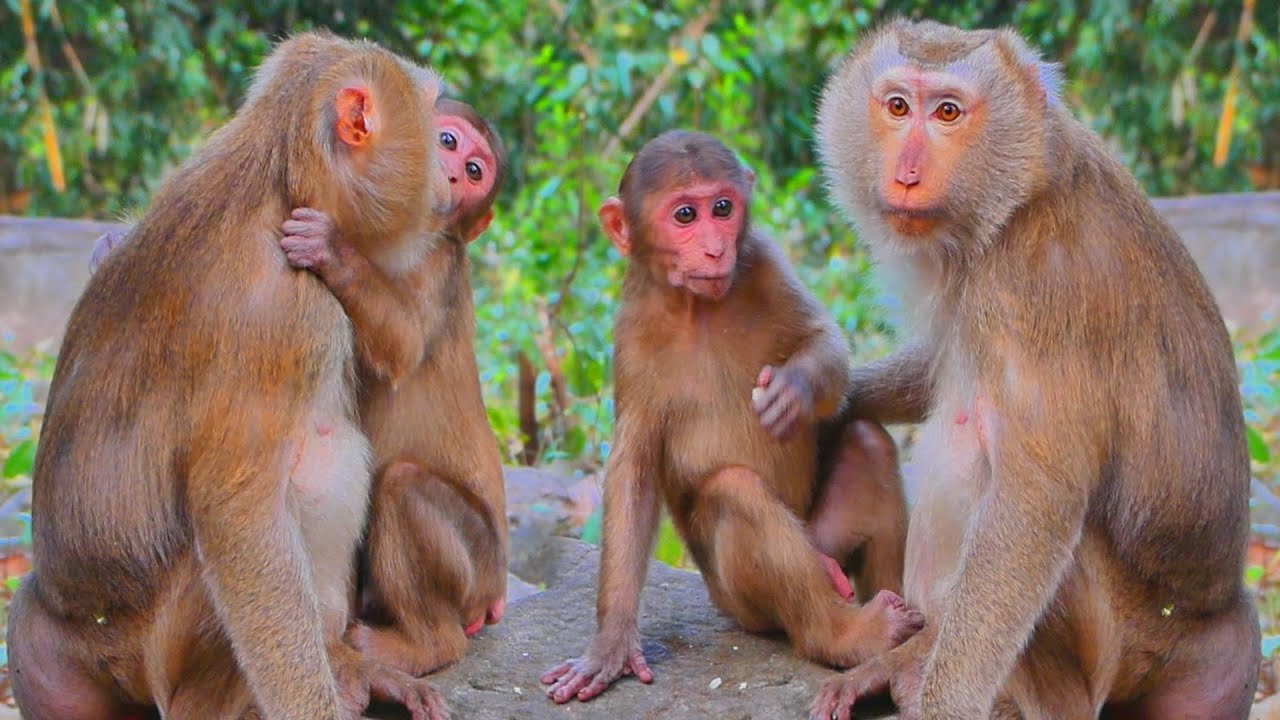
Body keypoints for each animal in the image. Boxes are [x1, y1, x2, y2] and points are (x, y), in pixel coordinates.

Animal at [6, 32, 451, 720]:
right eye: (435, 121)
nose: (448, 175)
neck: (275, 181)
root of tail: (66, 624)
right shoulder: (284, 315)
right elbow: (240, 519)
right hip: (158, 650)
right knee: (321, 458)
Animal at [276, 96, 510, 678]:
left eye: (476, 172)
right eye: (448, 141)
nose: (453, 174)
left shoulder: (438, 260)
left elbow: (402, 348)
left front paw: (331, 249)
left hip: (477, 565)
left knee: (403, 487)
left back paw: (424, 646)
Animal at [541, 130, 922, 705]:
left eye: (723, 208)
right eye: (685, 215)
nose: (715, 248)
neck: (695, 307)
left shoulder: (764, 259)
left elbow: (825, 344)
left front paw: (793, 392)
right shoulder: (630, 337)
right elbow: (635, 474)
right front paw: (610, 644)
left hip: (823, 537)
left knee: (866, 443)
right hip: (742, 601)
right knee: (734, 492)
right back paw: (842, 634)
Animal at [809, 19, 1258, 720]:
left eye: (948, 113)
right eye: (898, 106)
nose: (907, 174)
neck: (1016, 201)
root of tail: (1219, 612)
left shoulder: (1038, 291)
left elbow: (1034, 503)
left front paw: (941, 701)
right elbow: (935, 365)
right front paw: (814, 391)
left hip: (1122, 640)